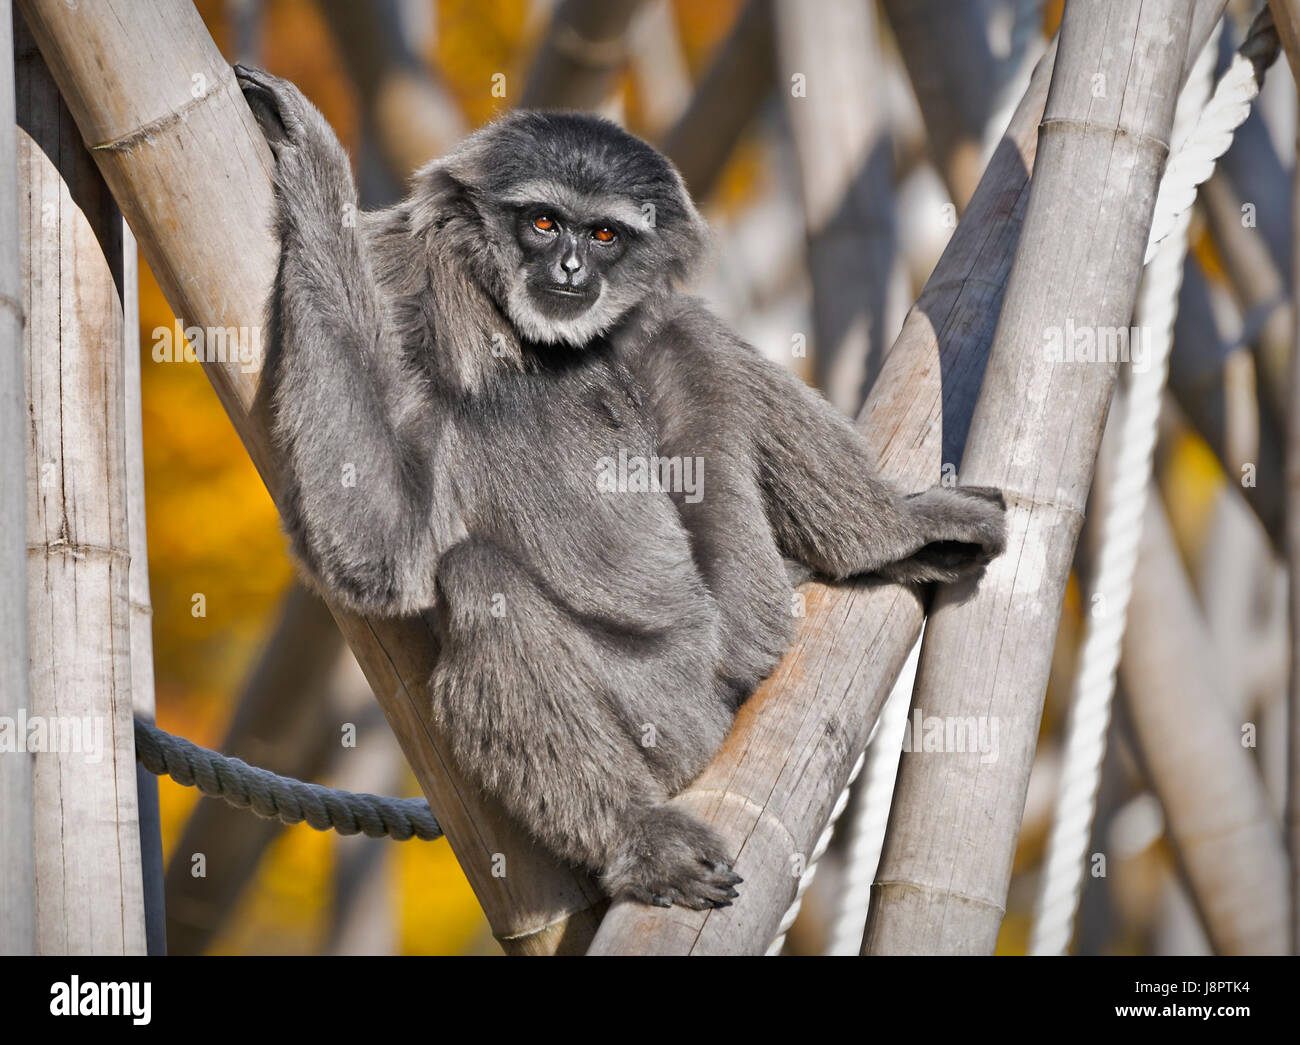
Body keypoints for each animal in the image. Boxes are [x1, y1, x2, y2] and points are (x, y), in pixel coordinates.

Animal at [234, 66, 1007, 912]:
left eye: (603, 235)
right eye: (543, 223)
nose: (573, 268)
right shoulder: (392, 271)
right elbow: (376, 547)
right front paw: (317, 176)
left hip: (721, 638)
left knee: (669, 327)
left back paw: (886, 534)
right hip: (670, 712)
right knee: (481, 560)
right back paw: (634, 833)